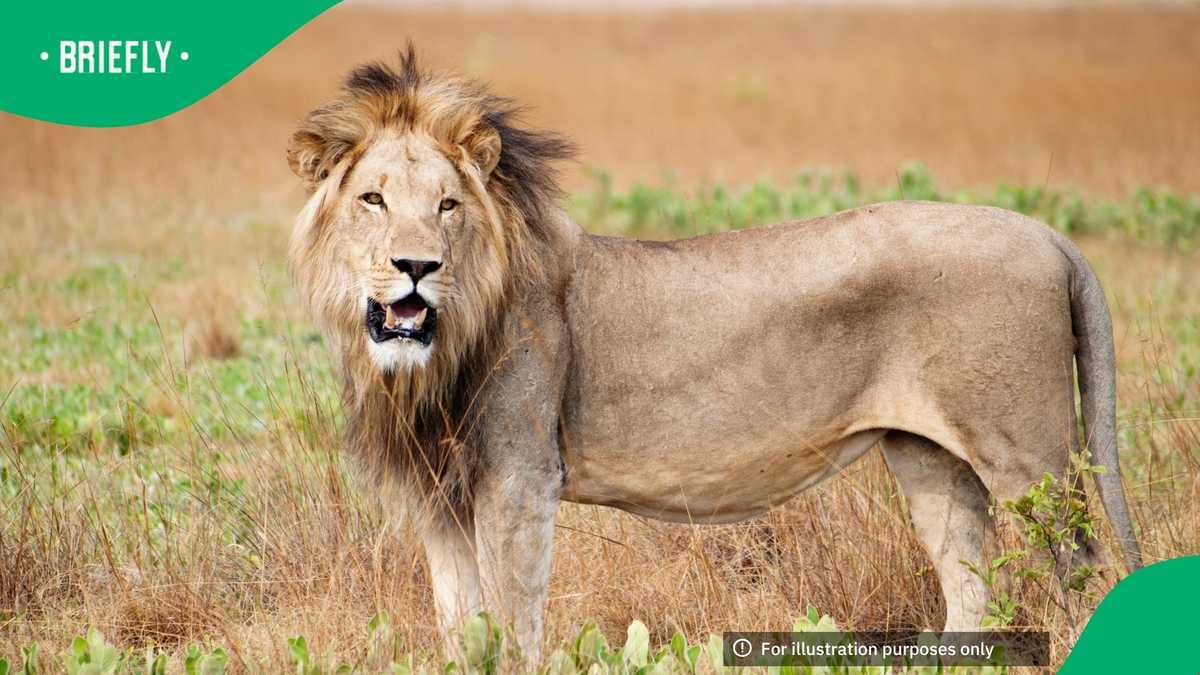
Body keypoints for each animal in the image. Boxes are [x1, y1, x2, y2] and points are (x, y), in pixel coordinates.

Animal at [287, 47, 1143, 660]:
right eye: (372, 199)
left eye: (447, 206)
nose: (416, 267)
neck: (434, 356)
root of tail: (1047, 232)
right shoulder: (439, 496)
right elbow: (463, 628)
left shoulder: (519, 477)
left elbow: (515, 622)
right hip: (930, 457)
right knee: (970, 579)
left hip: (1029, 455)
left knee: (1079, 564)